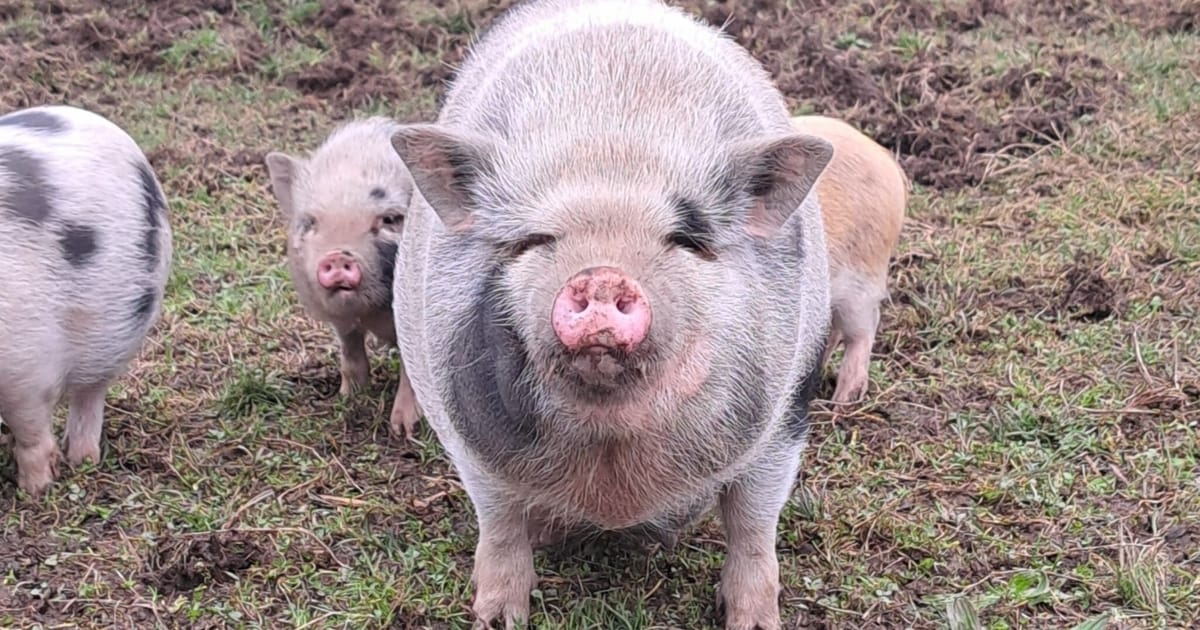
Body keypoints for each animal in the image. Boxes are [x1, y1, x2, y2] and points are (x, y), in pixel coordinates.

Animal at [0, 104, 173, 496]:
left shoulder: (27, 361)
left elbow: (31, 429)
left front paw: (36, 491)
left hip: (117, 327)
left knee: (90, 395)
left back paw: (83, 461)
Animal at [263, 118, 422, 440]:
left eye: (389, 219)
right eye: (310, 222)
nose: (337, 257)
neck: (375, 313)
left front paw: (403, 431)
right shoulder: (341, 321)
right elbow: (350, 350)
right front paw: (349, 398)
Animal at [385, 1, 835, 628]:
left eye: (685, 239)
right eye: (535, 240)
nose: (601, 276)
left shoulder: (786, 413)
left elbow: (753, 524)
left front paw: (753, 620)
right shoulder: (463, 428)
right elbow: (497, 523)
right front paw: (497, 618)